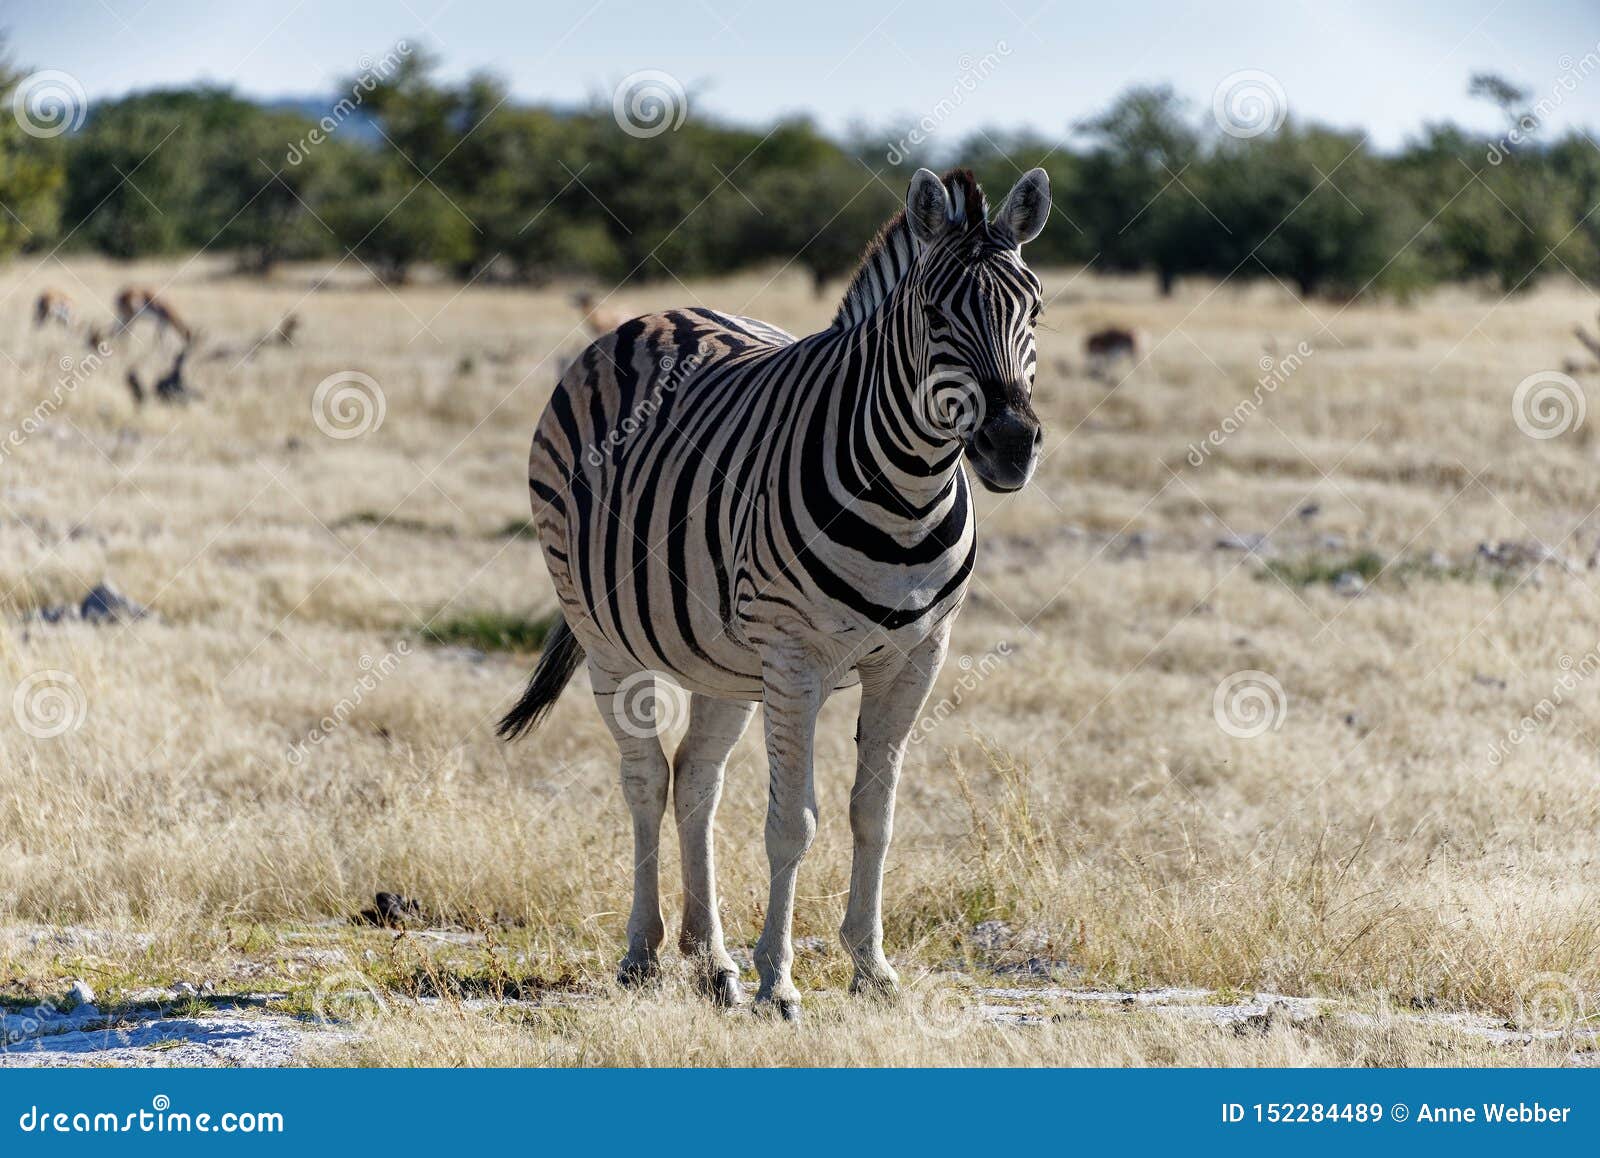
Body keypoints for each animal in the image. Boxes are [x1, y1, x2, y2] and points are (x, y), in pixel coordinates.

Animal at [500, 166, 1051, 1018]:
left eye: (1036, 311)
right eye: (934, 316)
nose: (1012, 446)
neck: (906, 493)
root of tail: (650, 317)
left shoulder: (919, 656)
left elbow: (874, 813)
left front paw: (870, 968)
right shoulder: (795, 658)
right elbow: (794, 821)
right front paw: (779, 983)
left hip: (722, 659)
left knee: (696, 780)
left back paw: (710, 960)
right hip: (605, 635)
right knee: (645, 780)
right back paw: (645, 953)